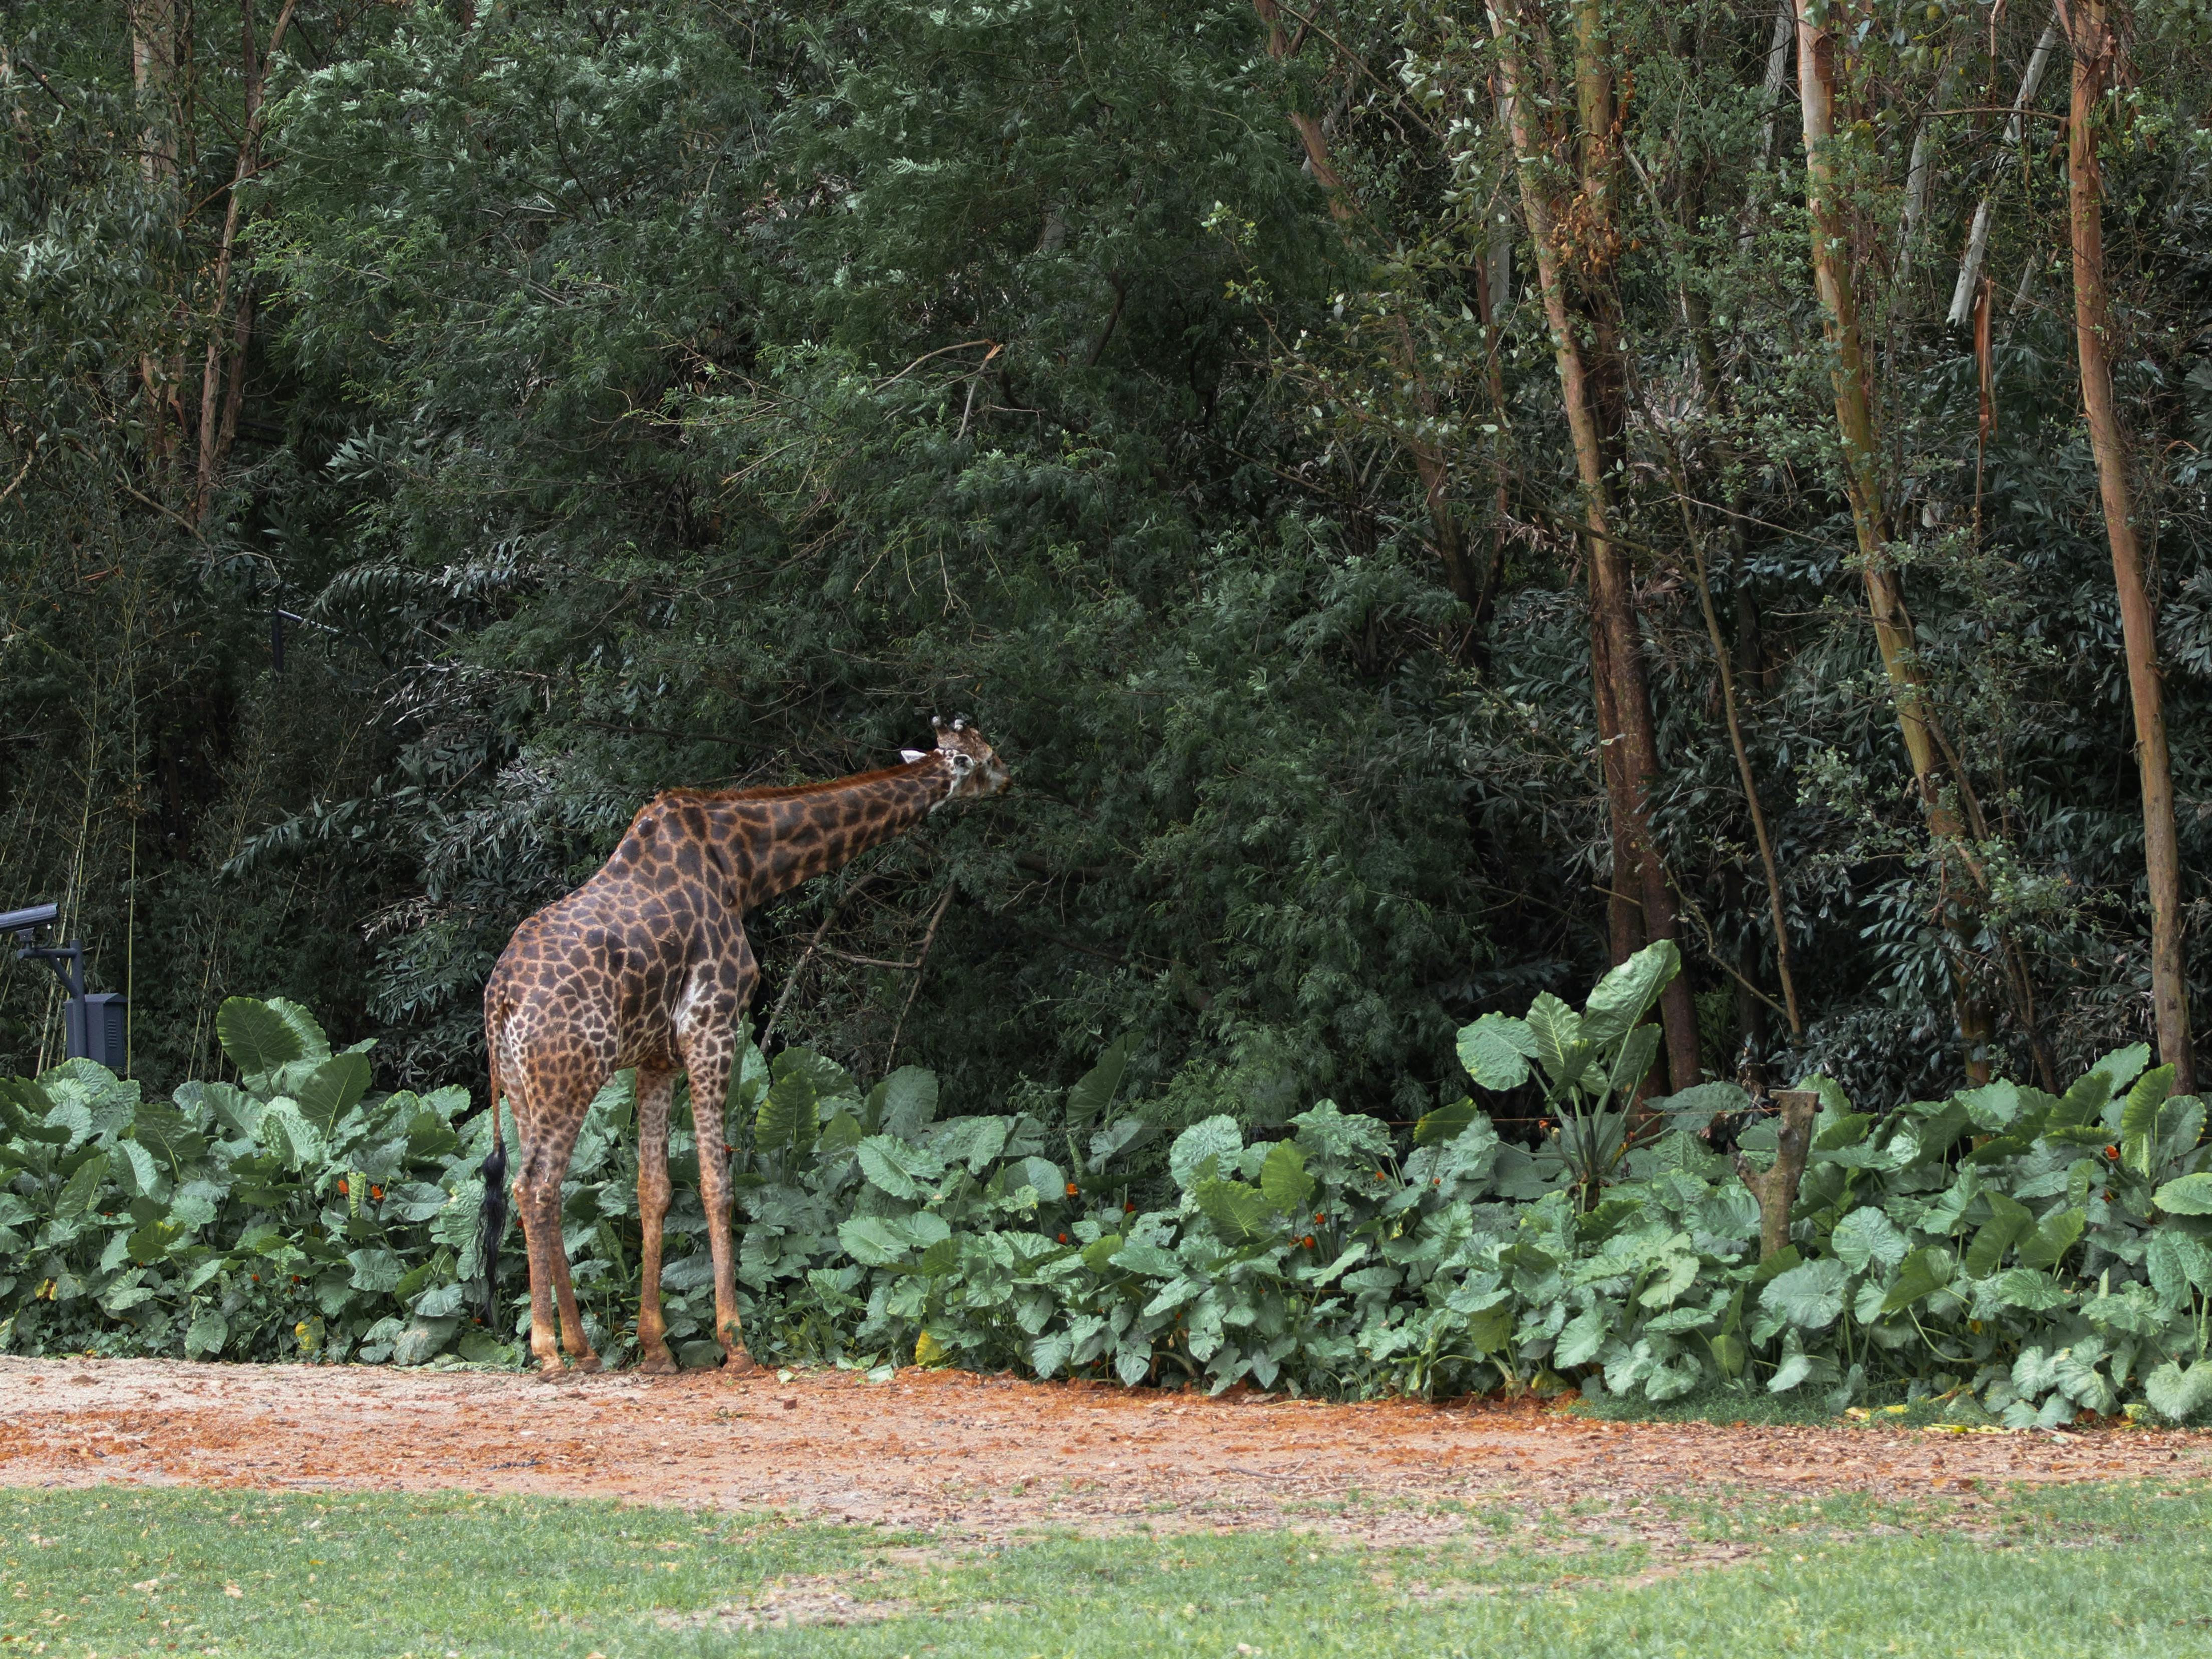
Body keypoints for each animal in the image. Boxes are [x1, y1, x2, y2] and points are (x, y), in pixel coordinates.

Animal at [479, 717, 1011, 1376]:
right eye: (983, 757)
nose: (1009, 779)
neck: (743, 866)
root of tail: (499, 997)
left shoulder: (657, 1057)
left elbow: (653, 1191)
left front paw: (656, 1348)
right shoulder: (713, 1025)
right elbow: (717, 1180)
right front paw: (735, 1343)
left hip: (523, 1086)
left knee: (543, 1191)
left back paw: (582, 1347)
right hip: (569, 1077)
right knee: (536, 1186)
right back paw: (552, 1350)